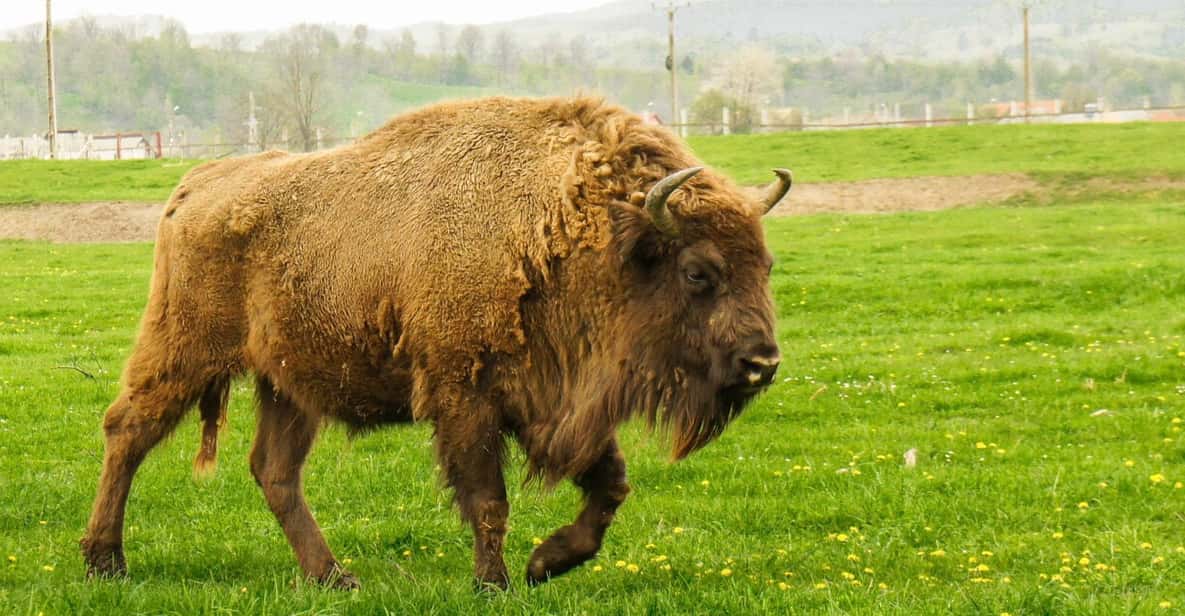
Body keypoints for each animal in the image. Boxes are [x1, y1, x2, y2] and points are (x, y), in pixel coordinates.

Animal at [81, 96, 790, 589]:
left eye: (766, 264)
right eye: (698, 271)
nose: (763, 363)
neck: (585, 230)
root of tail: (193, 186)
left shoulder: (555, 404)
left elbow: (610, 487)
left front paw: (545, 563)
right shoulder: (465, 398)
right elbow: (488, 500)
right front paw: (494, 583)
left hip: (288, 385)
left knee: (274, 471)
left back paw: (334, 577)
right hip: (184, 352)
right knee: (128, 430)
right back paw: (105, 561)